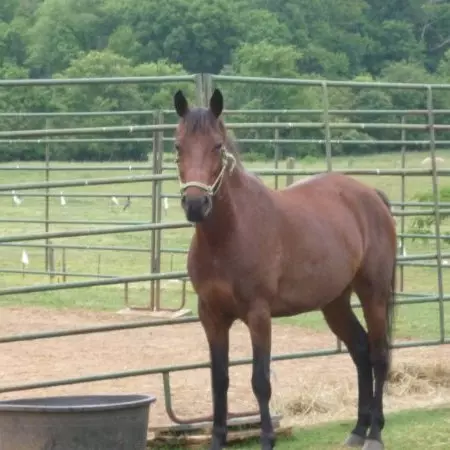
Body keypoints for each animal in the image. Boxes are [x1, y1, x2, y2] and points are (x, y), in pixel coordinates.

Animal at [173, 89, 398, 450]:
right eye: (178, 145)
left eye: (217, 146)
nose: (196, 205)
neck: (230, 234)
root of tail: (371, 196)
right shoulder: (211, 316)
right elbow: (219, 380)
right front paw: (217, 441)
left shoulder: (258, 315)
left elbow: (260, 381)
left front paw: (267, 439)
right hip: (334, 303)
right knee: (361, 350)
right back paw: (357, 430)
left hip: (373, 294)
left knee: (378, 355)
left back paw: (374, 434)